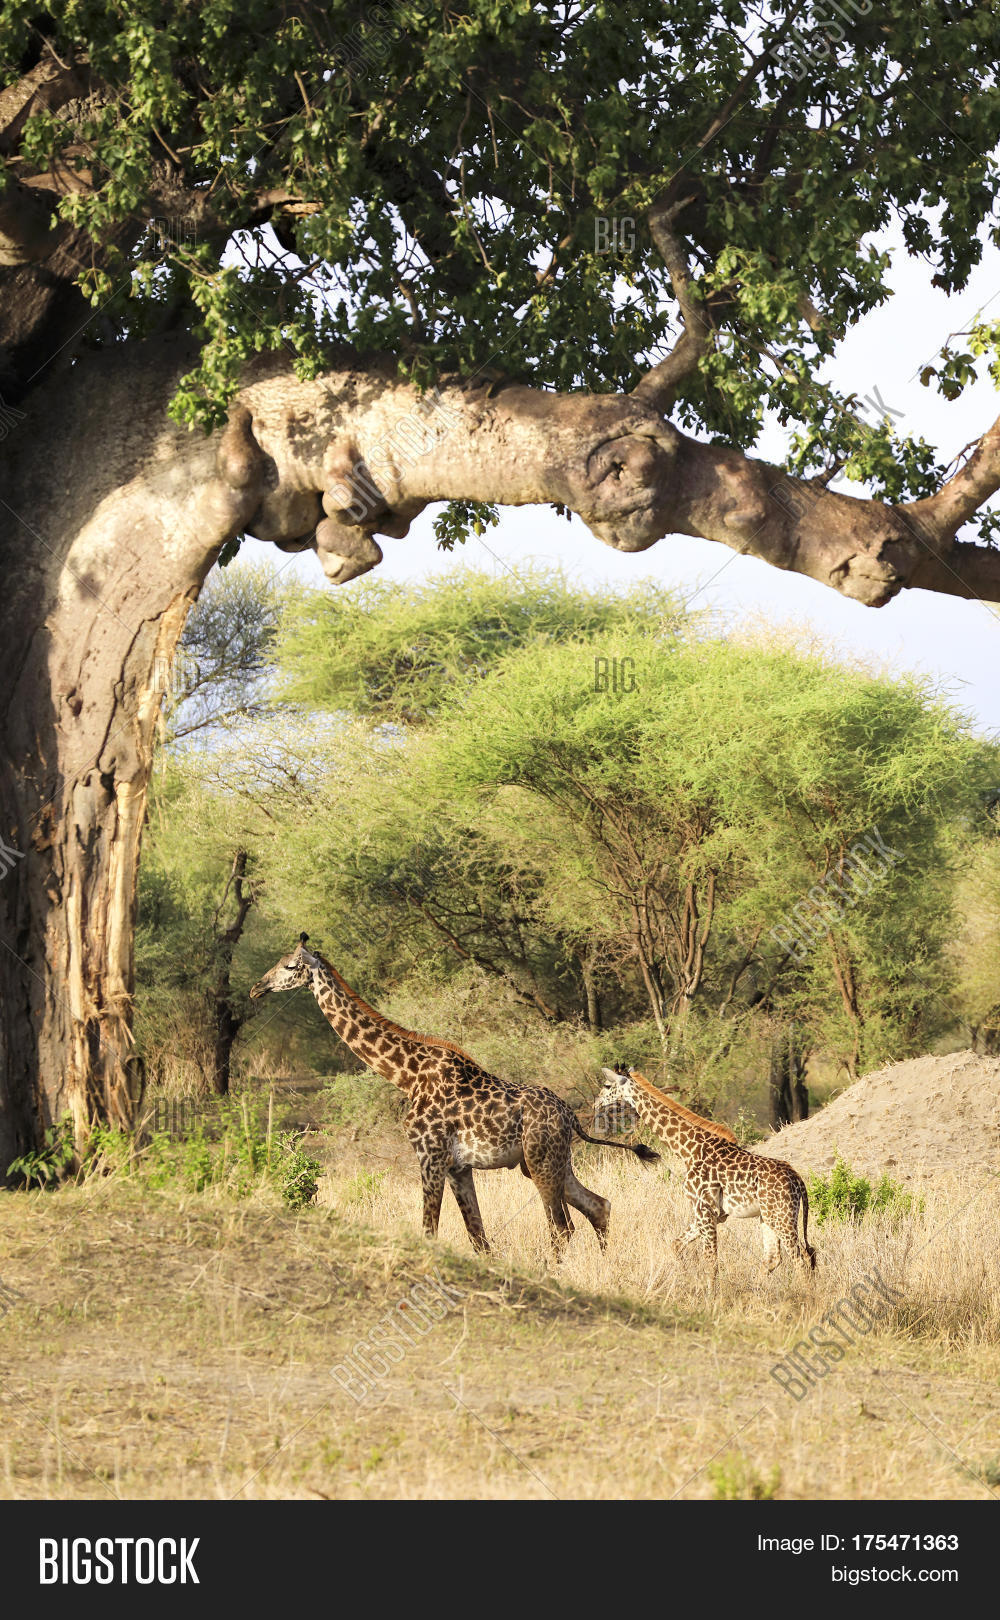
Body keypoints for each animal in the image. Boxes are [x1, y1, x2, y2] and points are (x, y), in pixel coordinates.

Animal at [249, 936, 659, 1257]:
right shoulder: (458, 1166)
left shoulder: (429, 1156)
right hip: (552, 1163)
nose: (256, 988)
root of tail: (569, 1114)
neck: (406, 1075)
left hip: (541, 1161)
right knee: (598, 1206)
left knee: (562, 1228)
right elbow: (478, 1237)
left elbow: (430, 1231)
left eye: (288, 965)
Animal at [595, 1062, 816, 1277]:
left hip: (781, 1215)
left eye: (606, 1085)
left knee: (801, 1259)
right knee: (773, 1258)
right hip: (767, 1216)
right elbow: (676, 1245)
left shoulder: (704, 1210)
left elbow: (711, 1263)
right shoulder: (711, 1213)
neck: (689, 1150)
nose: (595, 1103)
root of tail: (799, 1182)